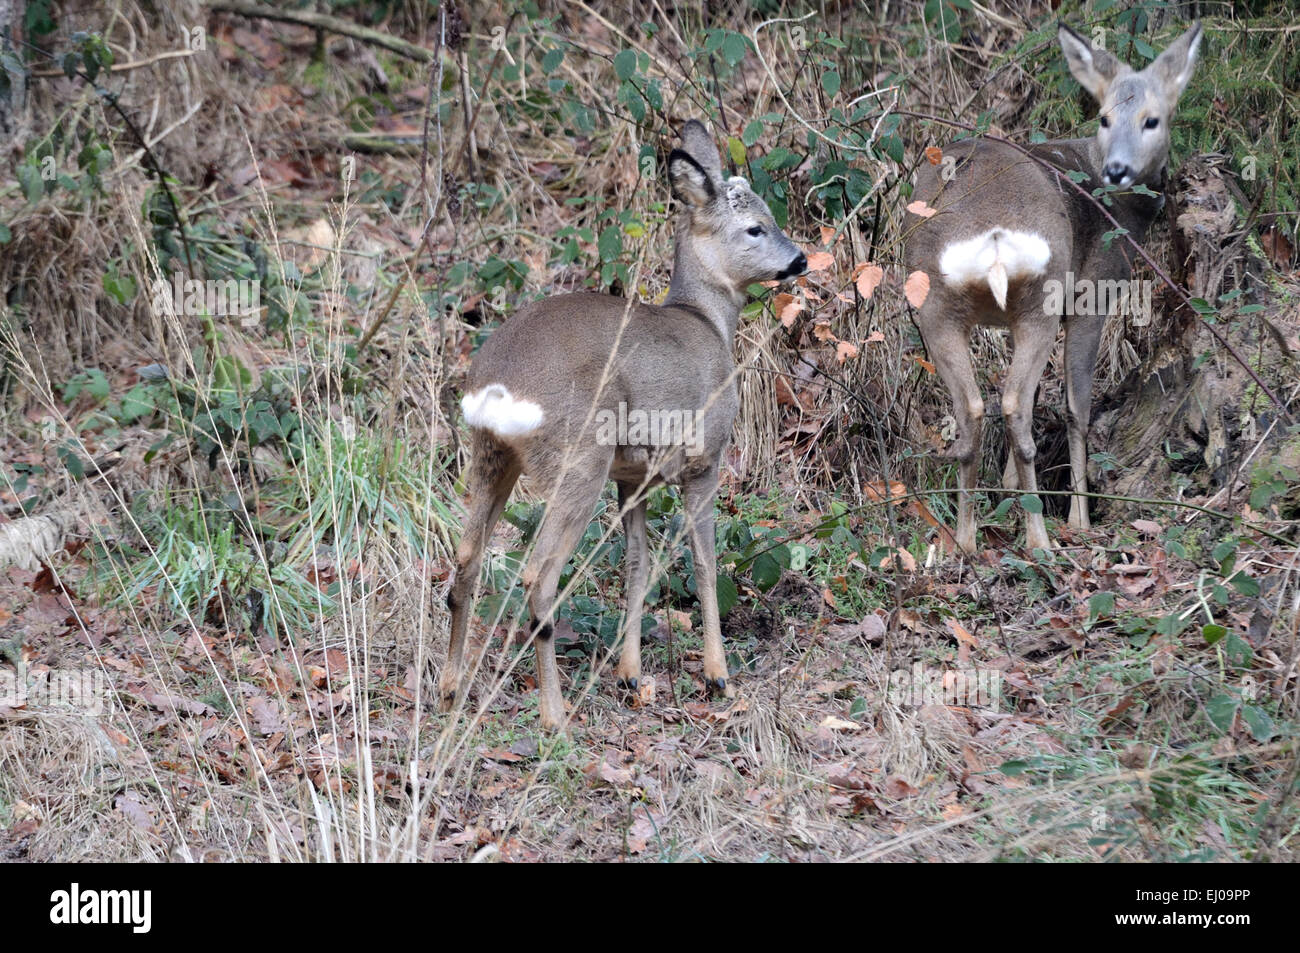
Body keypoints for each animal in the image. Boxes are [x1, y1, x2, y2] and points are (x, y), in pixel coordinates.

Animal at [442, 120, 807, 731]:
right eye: (755, 227)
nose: (800, 260)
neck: (707, 322)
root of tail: (496, 388)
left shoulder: (632, 478)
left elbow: (637, 566)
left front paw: (631, 675)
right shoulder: (705, 458)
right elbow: (705, 564)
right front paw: (717, 675)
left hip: (493, 455)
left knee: (465, 563)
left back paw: (449, 690)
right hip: (577, 460)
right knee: (537, 576)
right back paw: (554, 716)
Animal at [904, 21, 1203, 554]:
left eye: (1153, 119)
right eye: (1104, 117)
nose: (1119, 170)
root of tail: (992, 236)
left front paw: (1005, 490)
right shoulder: (1094, 292)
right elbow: (1075, 406)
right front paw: (1080, 519)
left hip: (935, 302)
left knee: (976, 410)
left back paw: (965, 541)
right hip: (1040, 296)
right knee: (1015, 407)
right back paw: (1041, 539)